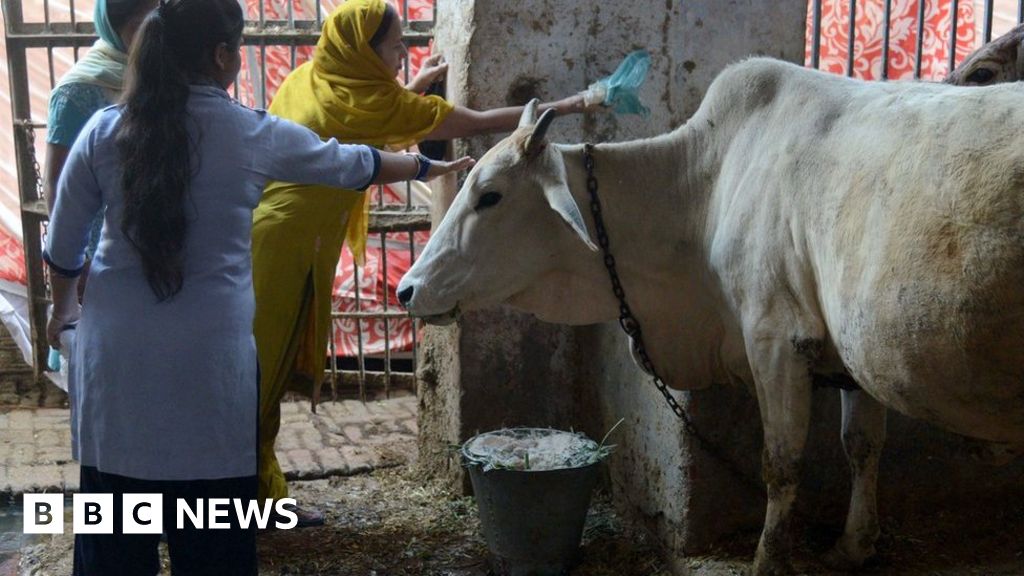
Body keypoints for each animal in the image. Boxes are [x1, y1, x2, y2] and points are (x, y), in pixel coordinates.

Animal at [396, 57, 1024, 575]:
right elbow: (862, 446)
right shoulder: (854, 360)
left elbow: (782, 462)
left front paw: (769, 561)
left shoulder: (776, 340)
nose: (407, 290)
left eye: (490, 195)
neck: (705, 189)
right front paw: (852, 547)